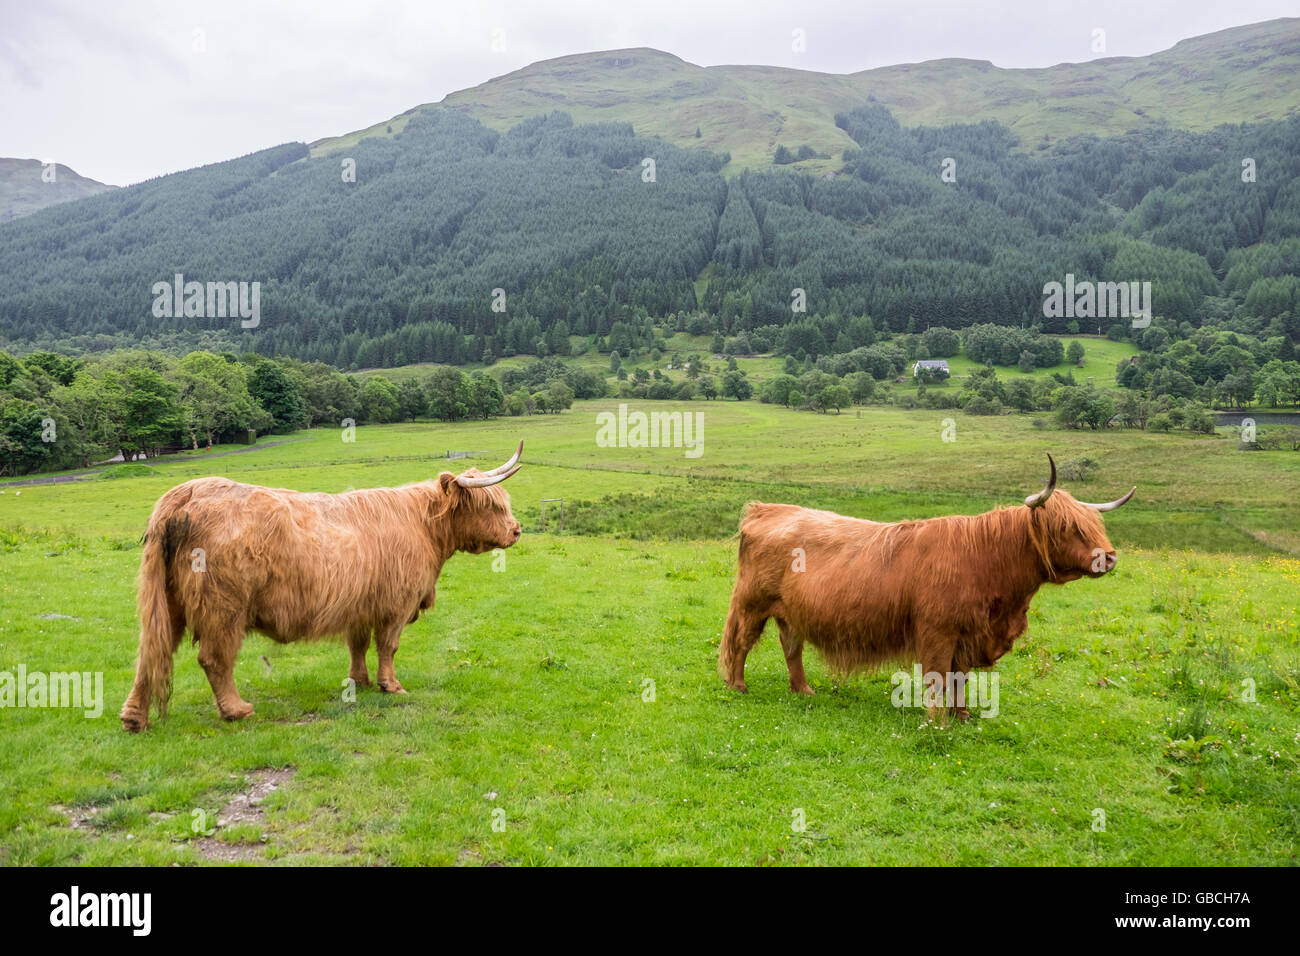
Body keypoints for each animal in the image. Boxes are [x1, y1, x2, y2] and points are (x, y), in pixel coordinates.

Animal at [119, 443, 524, 731]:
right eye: (490, 505)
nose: (517, 530)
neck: (424, 527)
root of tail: (185, 493)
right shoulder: (396, 603)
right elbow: (388, 646)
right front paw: (391, 686)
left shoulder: (361, 605)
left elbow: (358, 645)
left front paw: (360, 681)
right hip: (223, 608)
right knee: (214, 658)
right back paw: (237, 710)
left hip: (167, 602)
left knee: (151, 651)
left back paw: (135, 719)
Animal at [717, 455, 1134, 721]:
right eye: (1067, 527)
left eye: (1094, 523)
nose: (1110, 558)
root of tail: (767, 508)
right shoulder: (937, 631)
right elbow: (937, 675)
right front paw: (937, 722)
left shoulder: (969, 633)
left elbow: (960, 677)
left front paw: (962, 715)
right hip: (753, 603)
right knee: (740, 642)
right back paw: (737, 686)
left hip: (790, 612)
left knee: (792, 648)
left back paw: (803, 690)